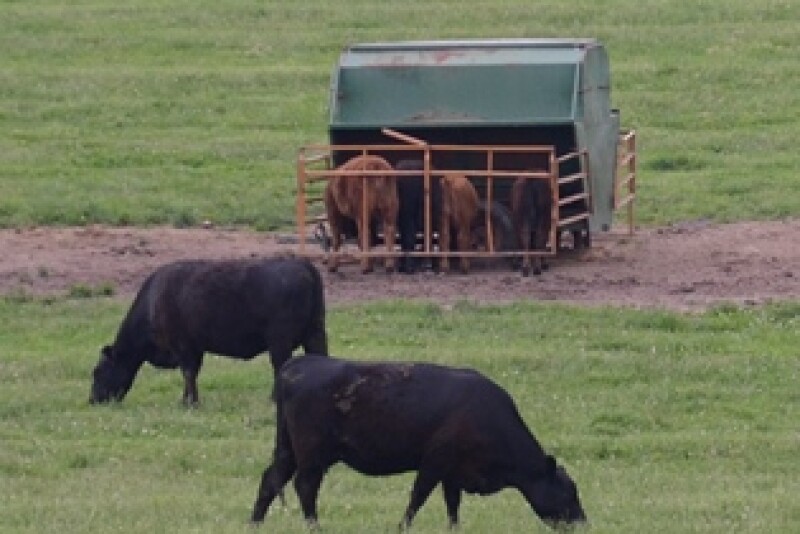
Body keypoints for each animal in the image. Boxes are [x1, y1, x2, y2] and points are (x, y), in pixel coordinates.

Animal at [90, 256, 328, 405]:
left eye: (97, 372)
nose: (92, 401)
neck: (153, 302)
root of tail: (301, 263)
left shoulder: (183, 347)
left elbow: (188, 372)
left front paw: (189, 402)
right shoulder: (195, 348)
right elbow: (192, 374)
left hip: (280, 341)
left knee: (280, 366)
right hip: (315, 333)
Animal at [251, 354, 586, 530]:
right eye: (569, 493)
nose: (583, 523)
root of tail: (297, 365)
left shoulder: (453, 471)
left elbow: (452, 504)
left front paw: (454, 529)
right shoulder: (434, 462)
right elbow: (418, 497)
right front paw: (402, 528)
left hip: (288, 449)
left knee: (271, 479)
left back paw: (254, 523)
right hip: (312, 454)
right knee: (305, 486)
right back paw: (314, 528)